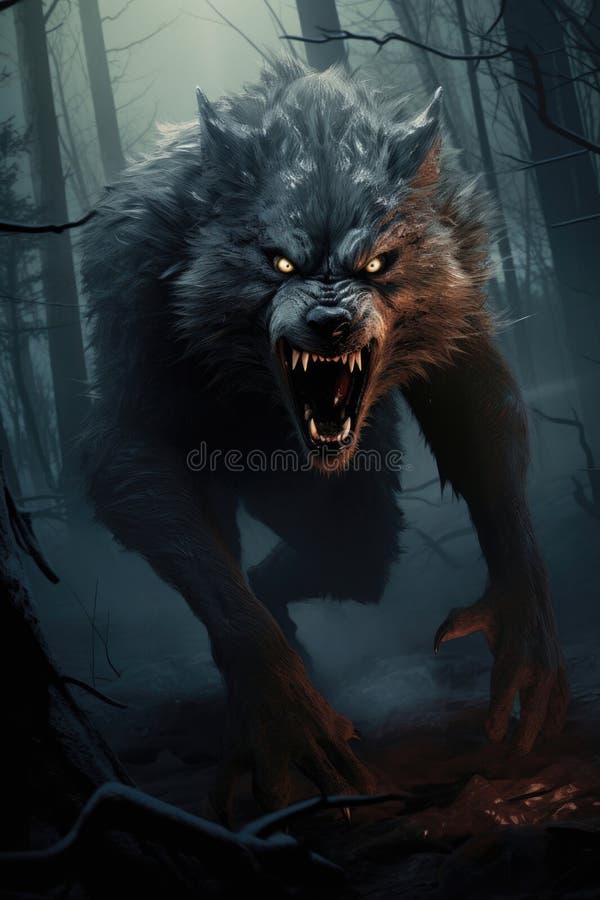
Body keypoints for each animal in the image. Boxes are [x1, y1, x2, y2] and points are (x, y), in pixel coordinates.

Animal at [82, 59, 567, 819]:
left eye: (377, 264)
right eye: (280, 264)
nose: (332, 321)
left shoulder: (459, 260)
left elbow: (476, 401)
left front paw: (525, 626)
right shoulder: (133, 287)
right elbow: (128, 449)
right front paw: (279, 705)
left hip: (350, 510)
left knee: (346, 552)